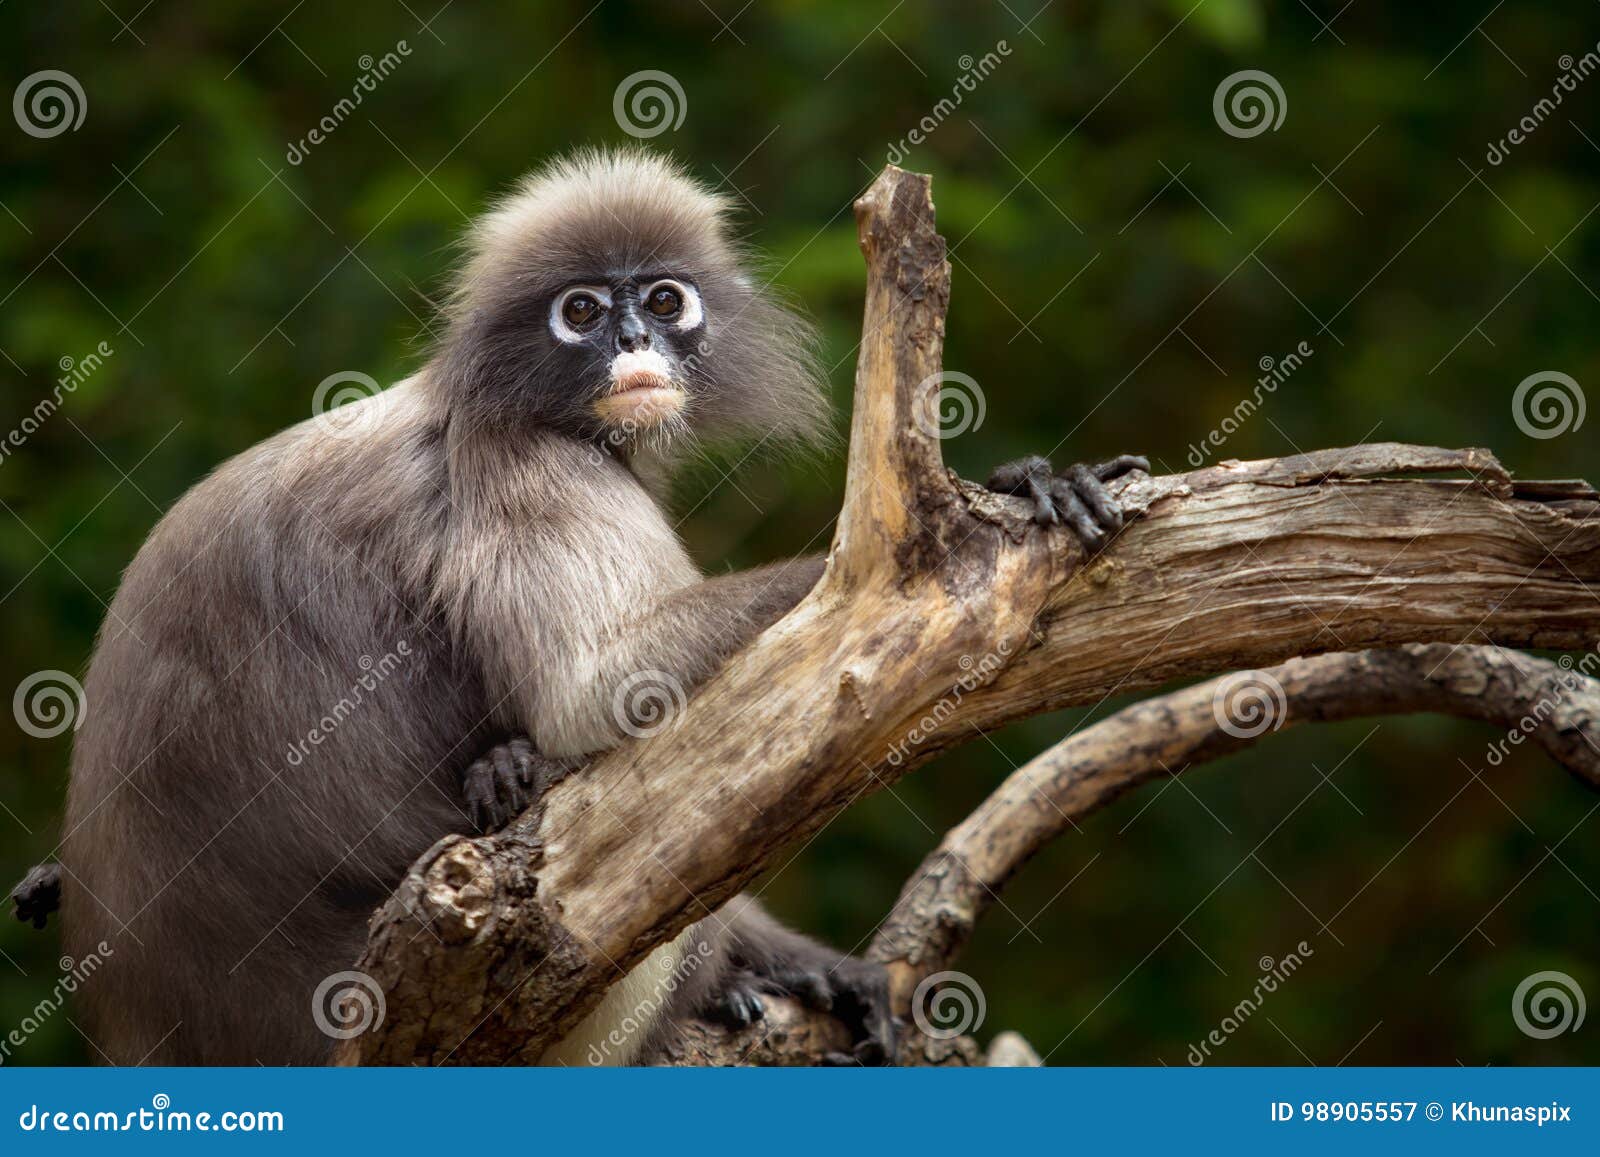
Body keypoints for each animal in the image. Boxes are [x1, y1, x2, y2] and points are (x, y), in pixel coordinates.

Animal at [41, 148, 1143, 1066]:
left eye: (662, 297)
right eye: (579, 309)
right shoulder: (526, 467)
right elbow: (598, 688)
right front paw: (987, 514)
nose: (631, 336)